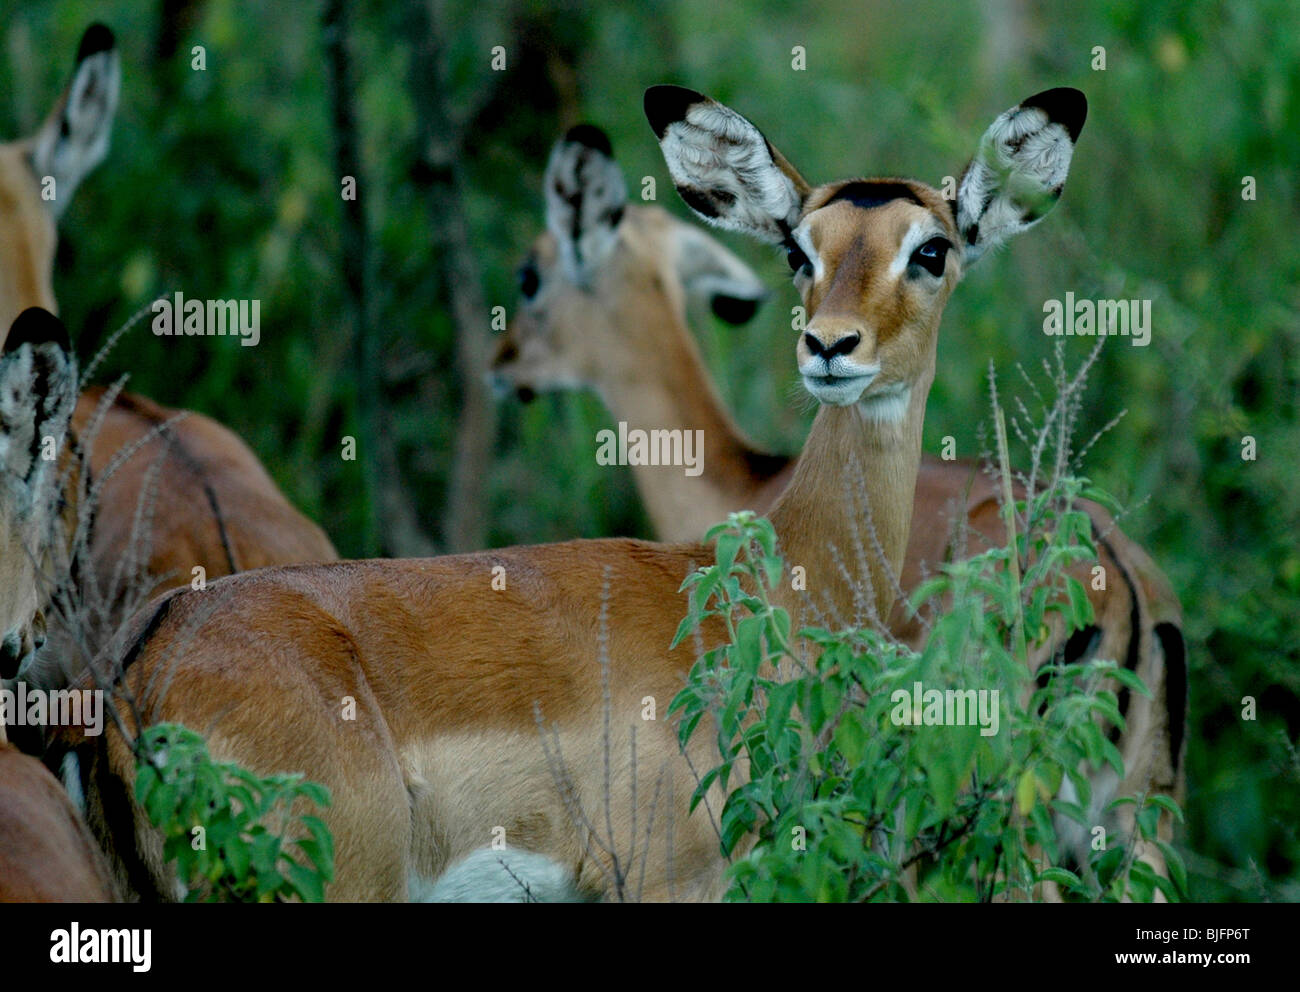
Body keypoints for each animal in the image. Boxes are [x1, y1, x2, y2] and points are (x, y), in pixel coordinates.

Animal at [64, 85, 1102, 903]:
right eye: (799, 250)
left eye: (932, 248)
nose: (830, 347)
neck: (774, 585)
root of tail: (140, 678)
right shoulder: (673, 879)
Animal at [491, 124, 1186, 880]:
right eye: (799, 251)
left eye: (529, 275)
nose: (501, 364)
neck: (756, 489)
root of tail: (1119, 579)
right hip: (1138, 825)